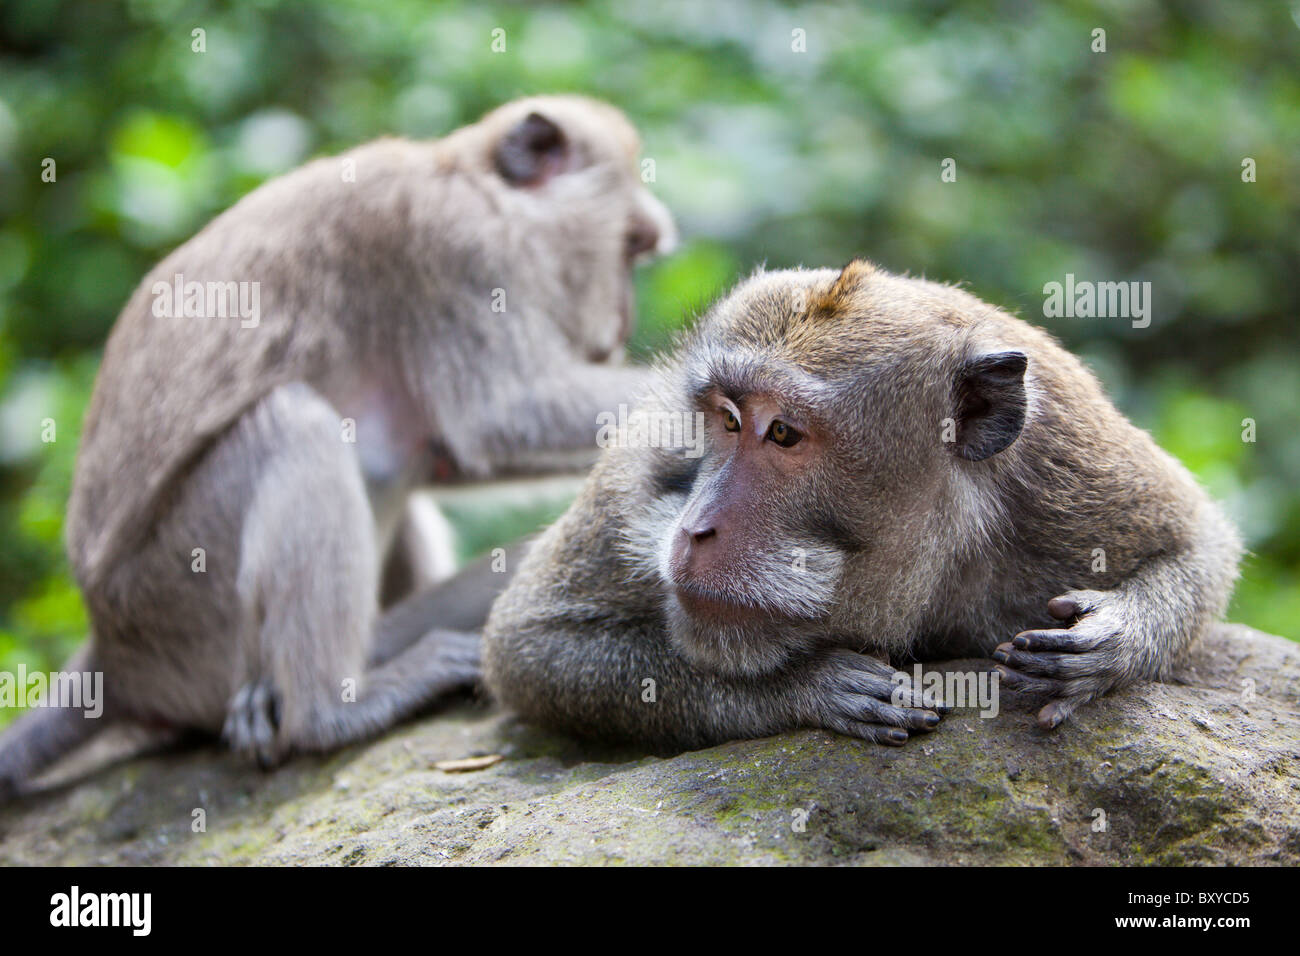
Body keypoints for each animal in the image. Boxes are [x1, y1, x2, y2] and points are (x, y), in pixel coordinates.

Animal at [0, 95, 676, 797]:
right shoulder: (453, 248)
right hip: (185, 609)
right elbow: (505, 412)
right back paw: (334, 707)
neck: (469, 178)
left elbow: (446, 451)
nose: (622, 324)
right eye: (631, 246)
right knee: (296, 426)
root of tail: (114, 653)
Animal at [483, 259, 1242, 751]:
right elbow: (530, 646)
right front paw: (808, 685)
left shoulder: (1065, 467)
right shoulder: (644, 475)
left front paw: (1110, 640)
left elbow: (1200, 539)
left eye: (783, 433)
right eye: (726, 420)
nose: (696, 528)